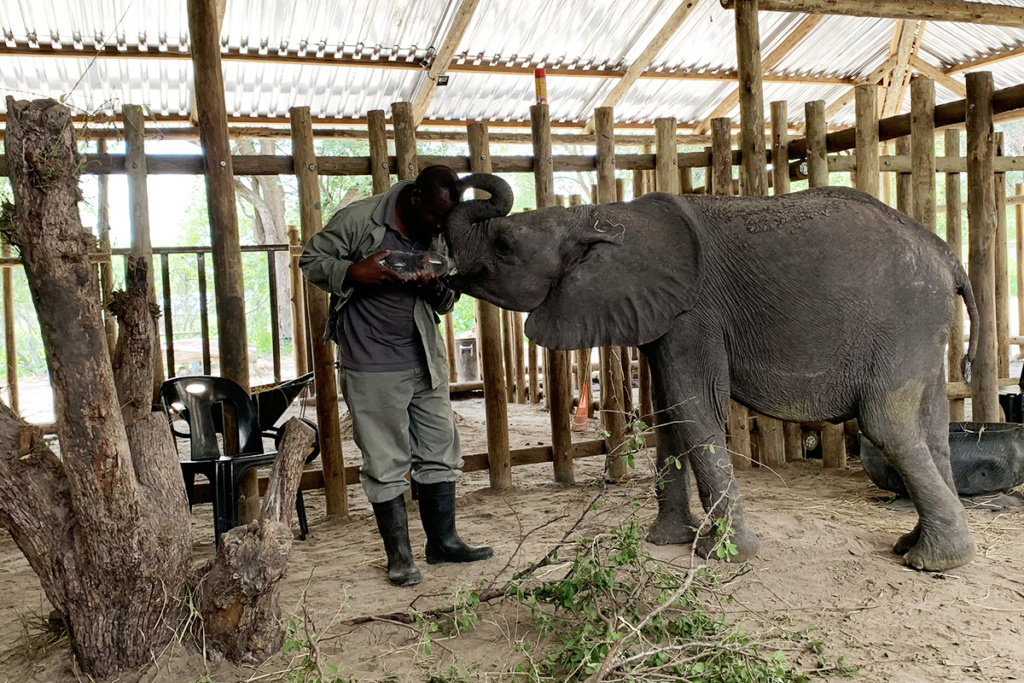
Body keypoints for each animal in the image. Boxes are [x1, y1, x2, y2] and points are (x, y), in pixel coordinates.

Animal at [442, 173, 981, 572]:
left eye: (504, 244)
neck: (607, 214)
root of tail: (948, 257)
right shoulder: (662, 314)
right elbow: (669, 413)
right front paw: (666, 542)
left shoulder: (694, 313)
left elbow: (695, 406)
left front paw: (723, 556)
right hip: (926, 331)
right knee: (933, 429)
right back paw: (919, 547)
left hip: (903, 322)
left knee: (887, 424)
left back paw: (934, 562)